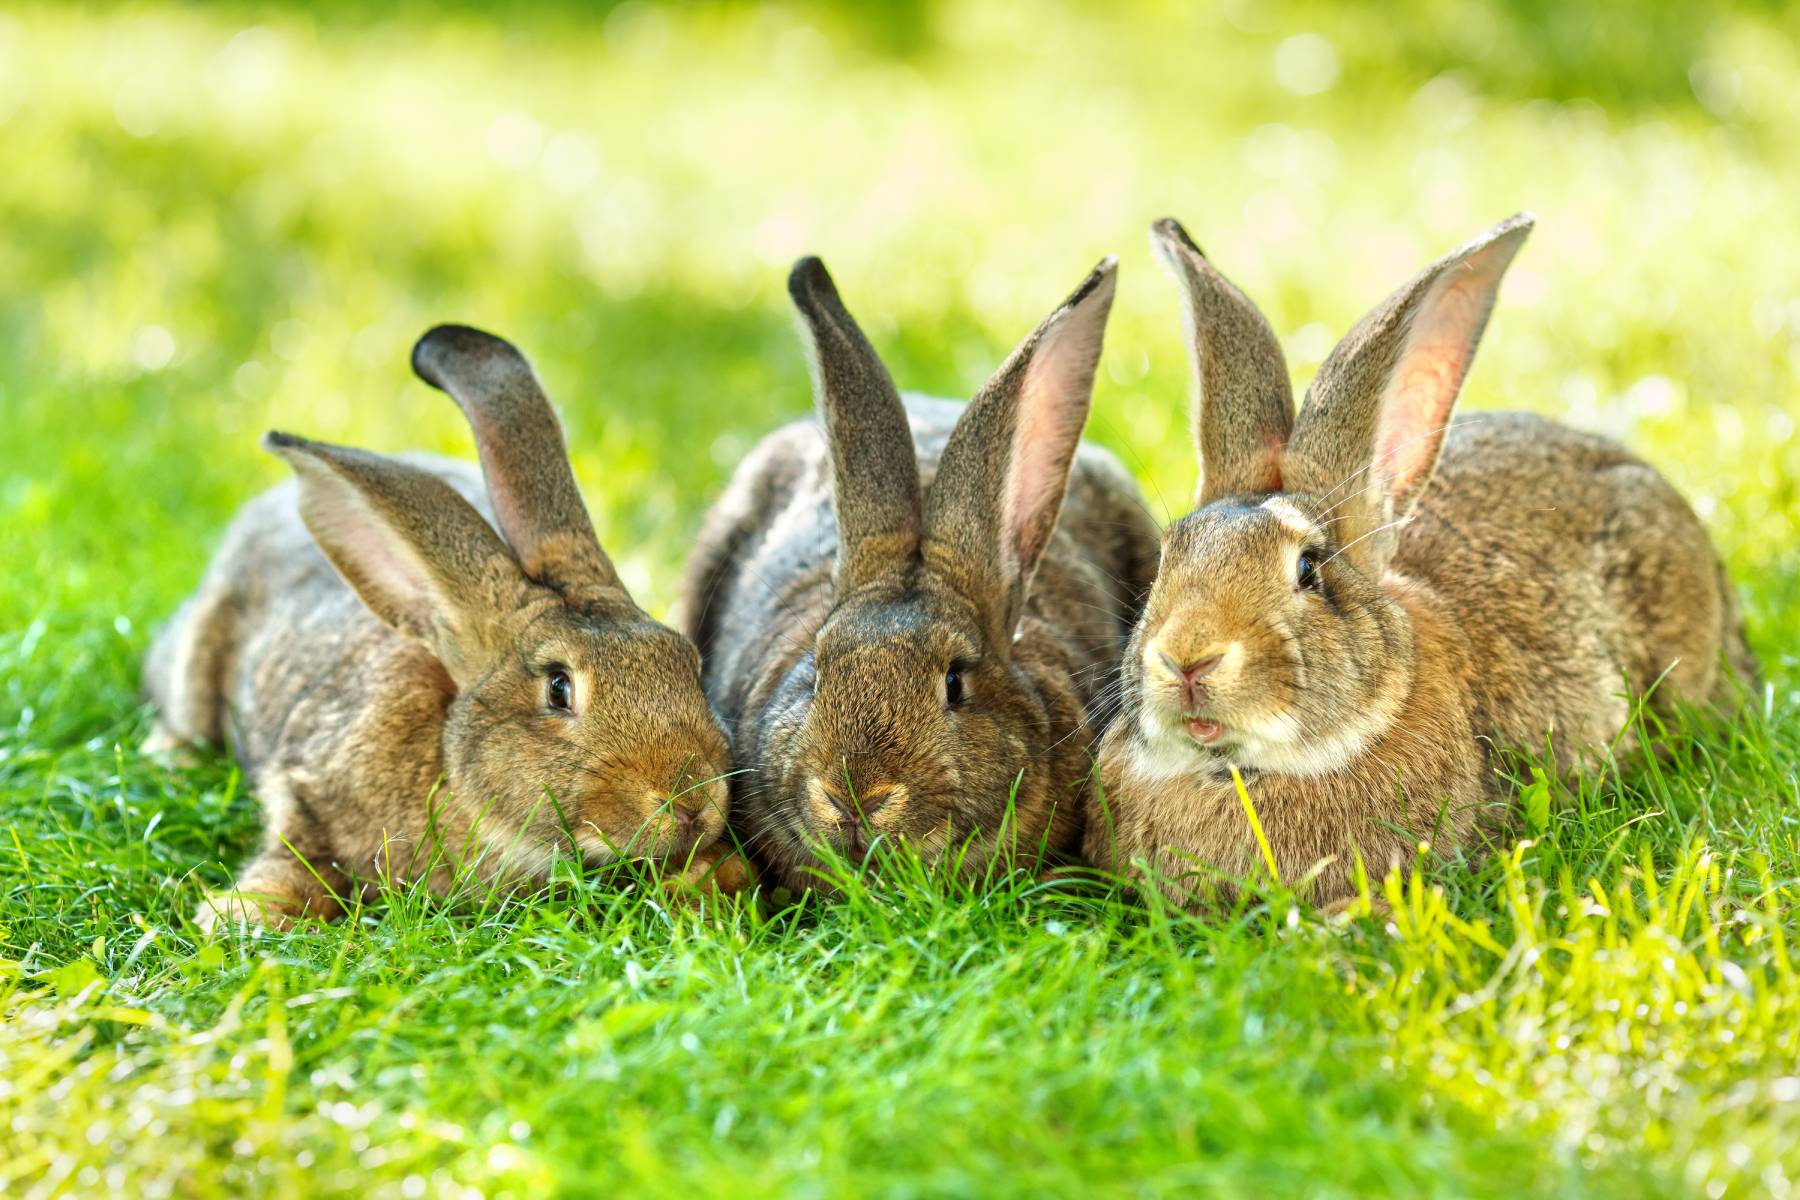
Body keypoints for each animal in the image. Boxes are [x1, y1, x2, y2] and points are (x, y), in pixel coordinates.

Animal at [145, 325, 749, 930]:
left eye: (689, 664)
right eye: (558, 688)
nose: (692, 802)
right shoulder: (302, 787)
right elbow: (298, 855)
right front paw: (239, 914)